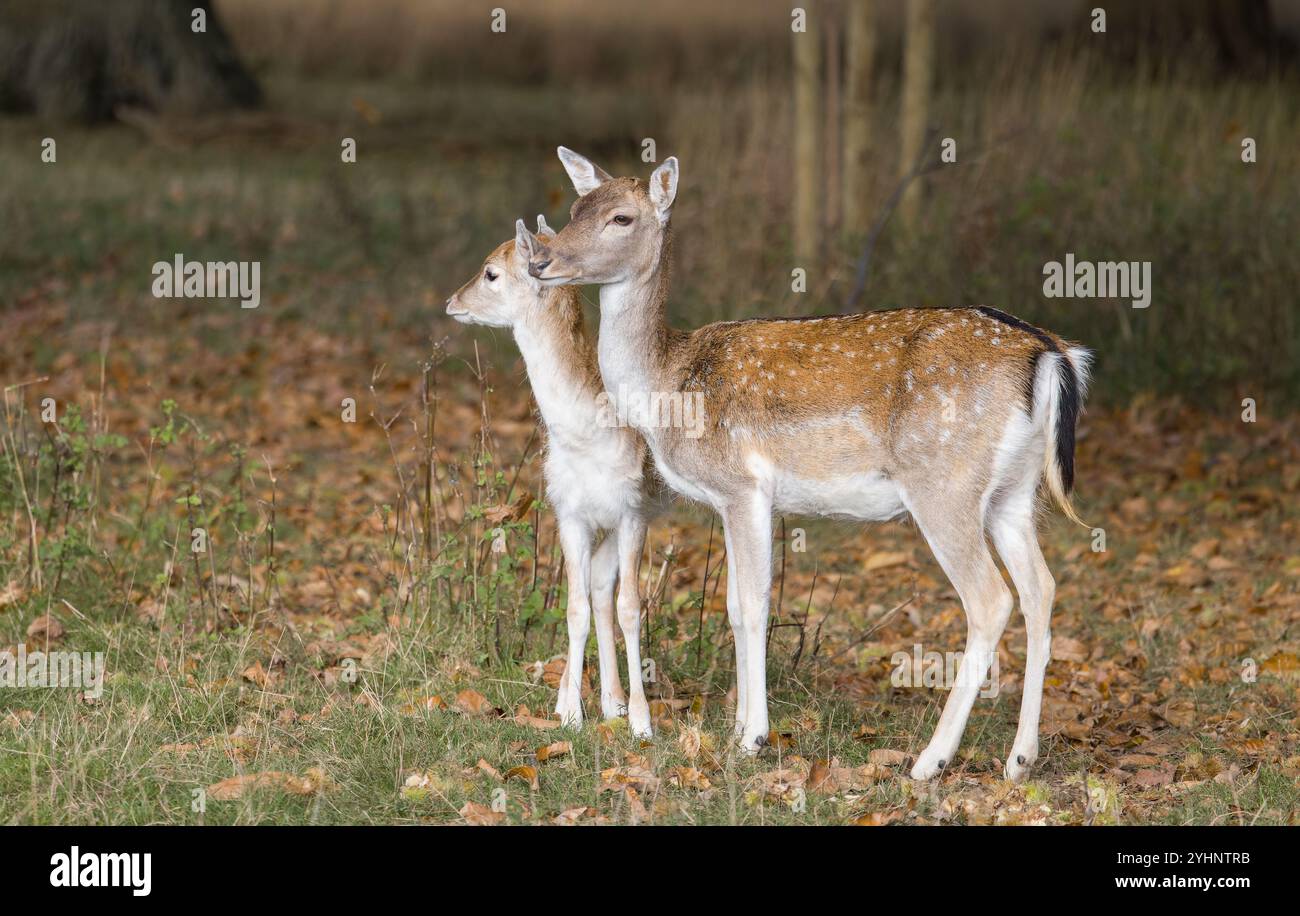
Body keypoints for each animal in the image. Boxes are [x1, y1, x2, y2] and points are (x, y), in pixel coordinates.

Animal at [446, 217, 657, 737]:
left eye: (491, 272)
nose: (452, 301)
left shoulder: (634, 509)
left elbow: (632, 607)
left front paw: (643, 723)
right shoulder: (567, 511)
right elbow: (575, 605)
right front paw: (570, 715)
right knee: (598, 584)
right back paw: (606, 702)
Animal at [528, 148, 1092, 782]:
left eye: (621, 217)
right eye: (574, 210)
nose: (541, 259)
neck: (668, 383)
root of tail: (1053, 355)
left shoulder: (743, 484)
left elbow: (753, 606)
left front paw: (753, 738)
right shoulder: (735, 501)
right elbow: (733, 605)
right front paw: (737, 727)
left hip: (943, 483)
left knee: (991, 600)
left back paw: (930, 760)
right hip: (1013, 493)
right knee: (1042, 589)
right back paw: (1020, 758)